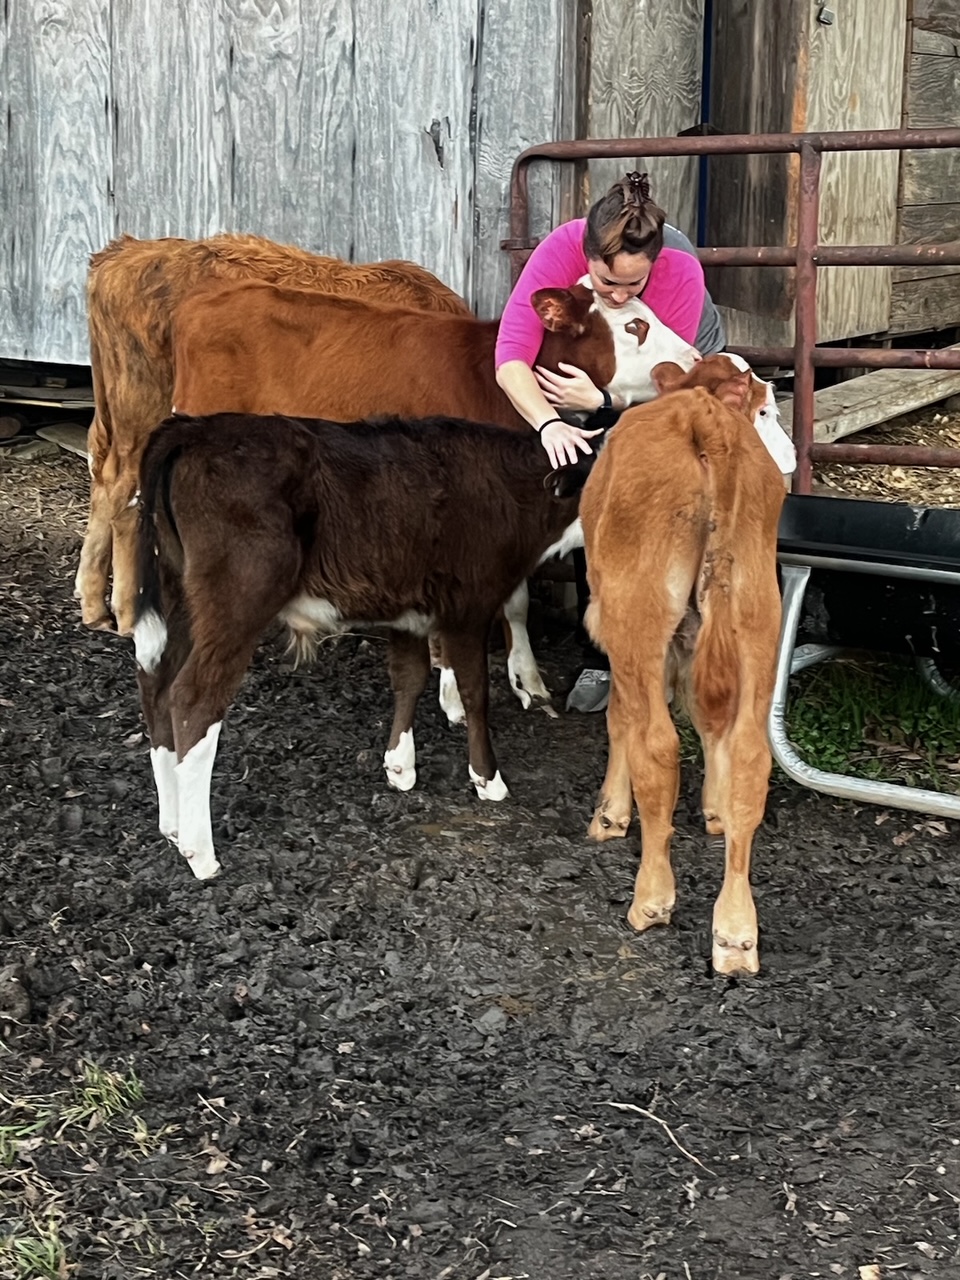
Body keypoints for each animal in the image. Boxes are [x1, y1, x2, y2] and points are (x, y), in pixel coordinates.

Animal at [76, 232, 469, 634]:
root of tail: (130, 250)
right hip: (144, 407)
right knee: (125, 493)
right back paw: (128, 612)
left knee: (104, 482)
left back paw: (94, 605)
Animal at [133, 411, 592, 881]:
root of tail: (193, 428)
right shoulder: (469, 608)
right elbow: (474, 691)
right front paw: (487, 779)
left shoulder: (411, 609)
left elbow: (409, 677)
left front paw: (400, 765)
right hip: (236, 600)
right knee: (193, 699)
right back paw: (200, 852)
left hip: (178, 598)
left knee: (156, 687)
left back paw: (171, 827)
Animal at [579, 355, 787, 977]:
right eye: (766, 410)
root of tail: (703, 416)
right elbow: (706, 717)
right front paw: (714, 809)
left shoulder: (618, 628)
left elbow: (622, 718)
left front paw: (610, 813)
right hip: (756, 616)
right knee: (749, 753)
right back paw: (736, 932)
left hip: (637, 613)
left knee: (657, 743)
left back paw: (651, 898)